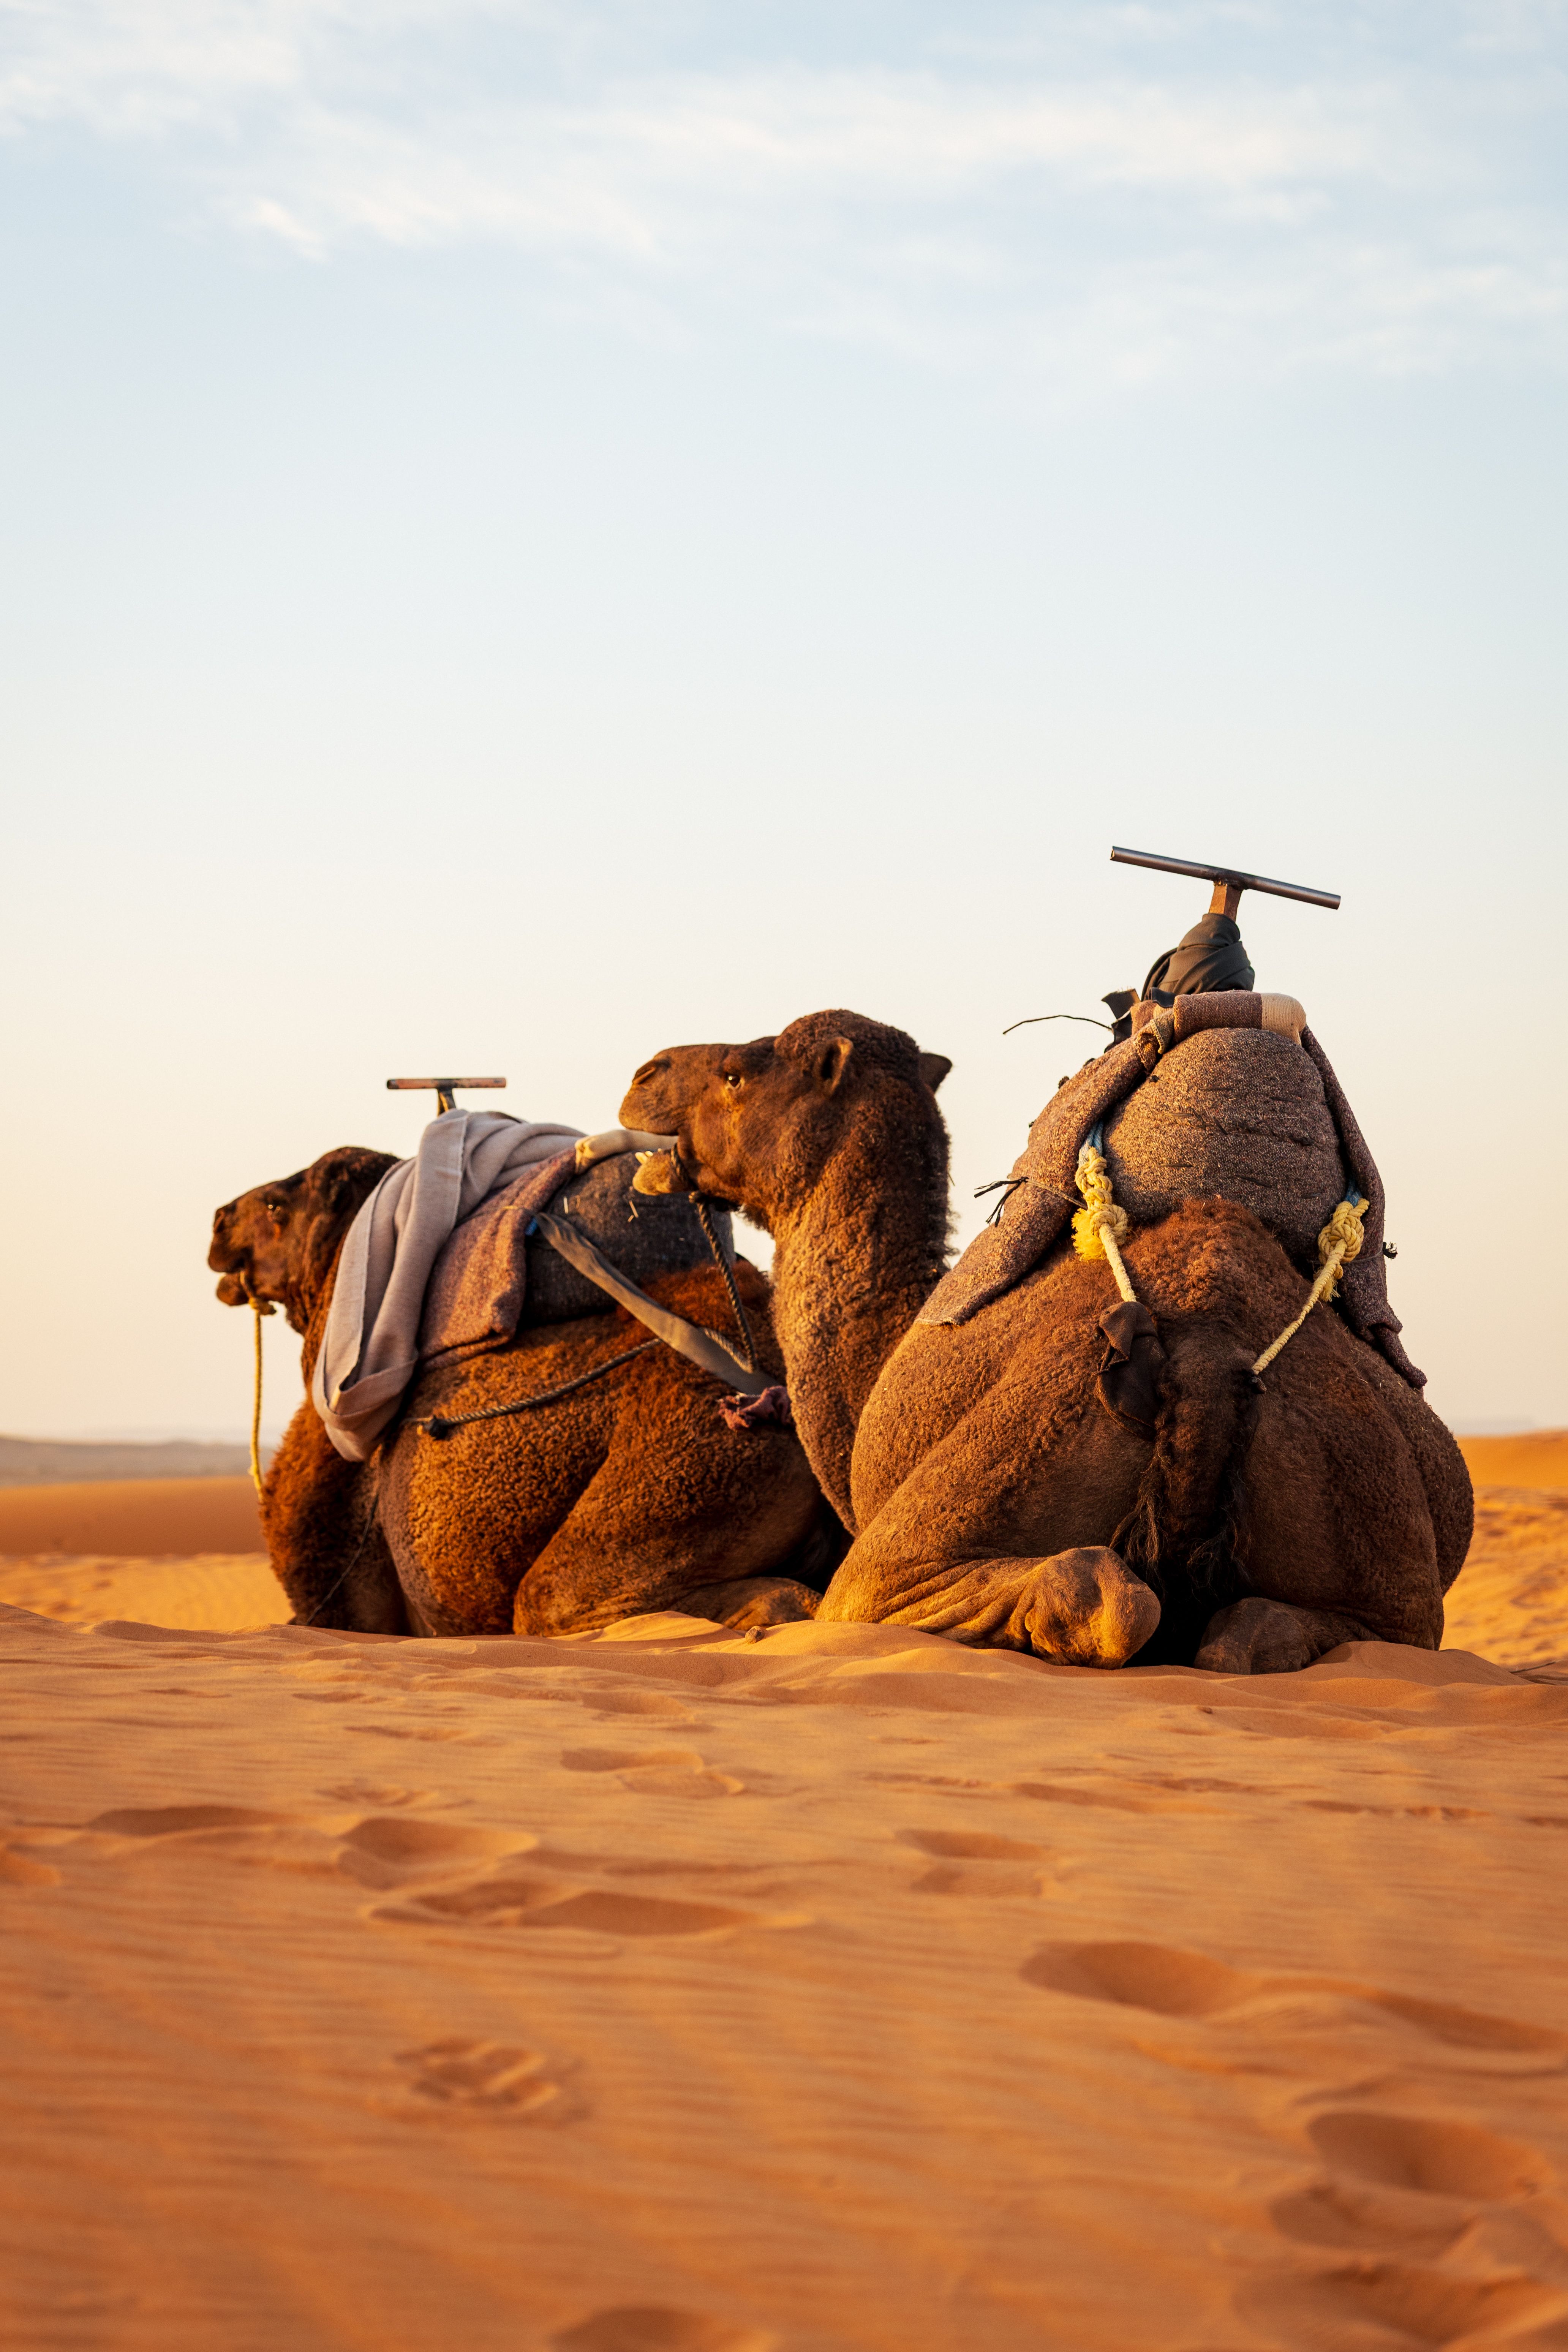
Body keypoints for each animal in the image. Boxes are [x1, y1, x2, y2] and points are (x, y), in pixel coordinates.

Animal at [620, 1012, 1474, 1674]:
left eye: (735, 1075)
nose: (644, 1072)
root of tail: (1207, 1359)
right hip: (1381, 1557)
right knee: (1259, 1634)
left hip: (1013, 1452)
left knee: (1095, 1595)